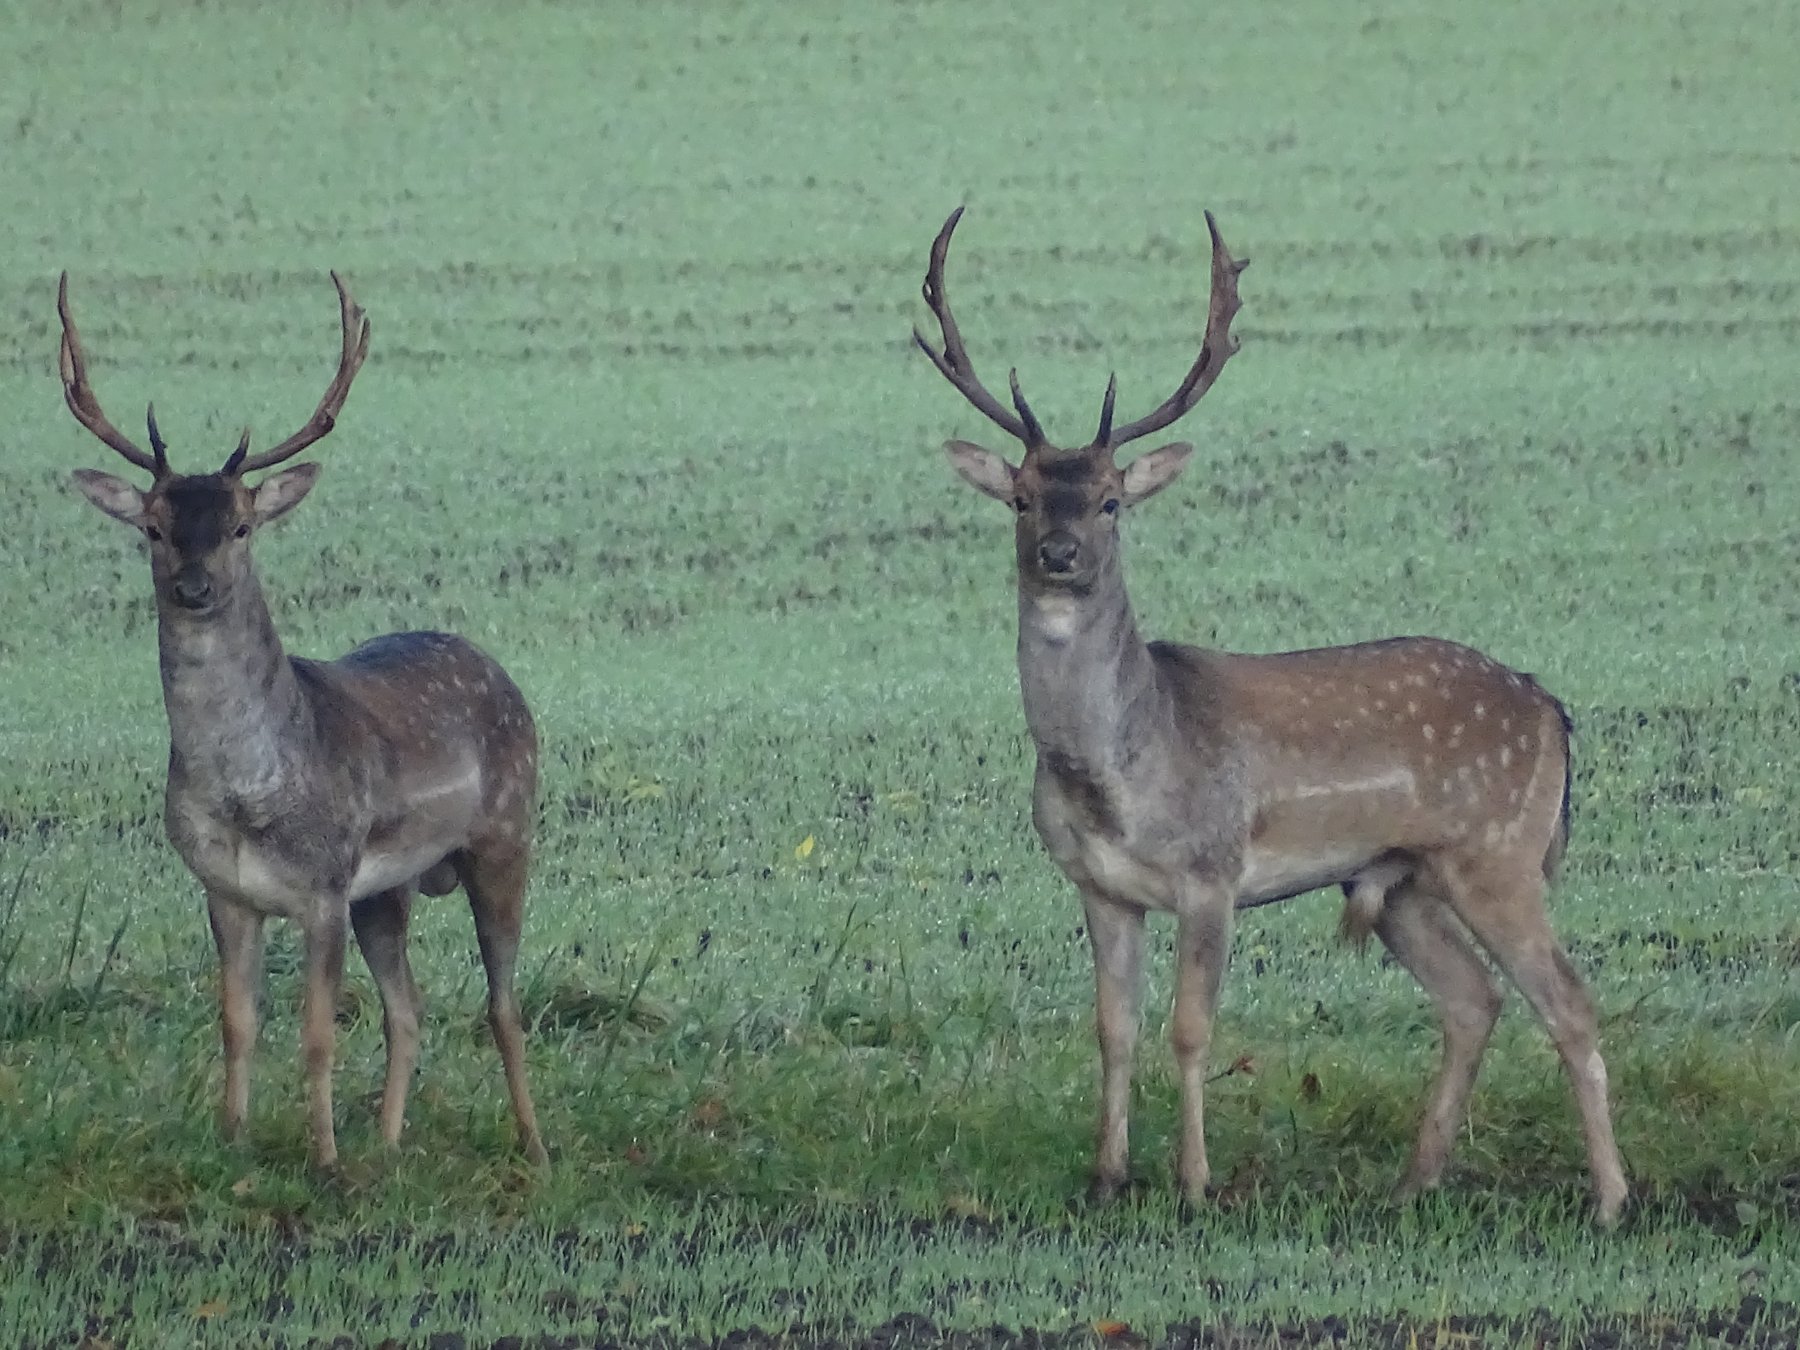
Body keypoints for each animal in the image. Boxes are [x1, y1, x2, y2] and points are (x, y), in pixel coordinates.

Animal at [57, 271, 547, 1171]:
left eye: (241, 524)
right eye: (154, 526)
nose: (193, 586)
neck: (250, 791)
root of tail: (494, 665)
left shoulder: (323, 882)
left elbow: (319, 1033)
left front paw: (323, 1162)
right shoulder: (224, 889)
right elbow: (236, 1021)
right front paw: (232, 1141)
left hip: (505, 834)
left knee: (501, 1003)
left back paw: (532, 1148)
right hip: (386, 890)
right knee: (408, 1005)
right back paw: (388, 1147)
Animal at [914, 207, 1628, 1225]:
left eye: (1111, 501)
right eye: (1019, 497)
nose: (1057, 552)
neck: (1119, 771)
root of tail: (1551, 709)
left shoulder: (1212, 871)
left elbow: (1190, 1028)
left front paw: (1194, 1184)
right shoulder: (1097, 885)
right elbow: (1113, 1027)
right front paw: (1106, 1177)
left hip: (1499, 852)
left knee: (1567, 999)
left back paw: (1610, 1200)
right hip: (1401, 879)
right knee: (1473, 1000)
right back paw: (1413, 1182)